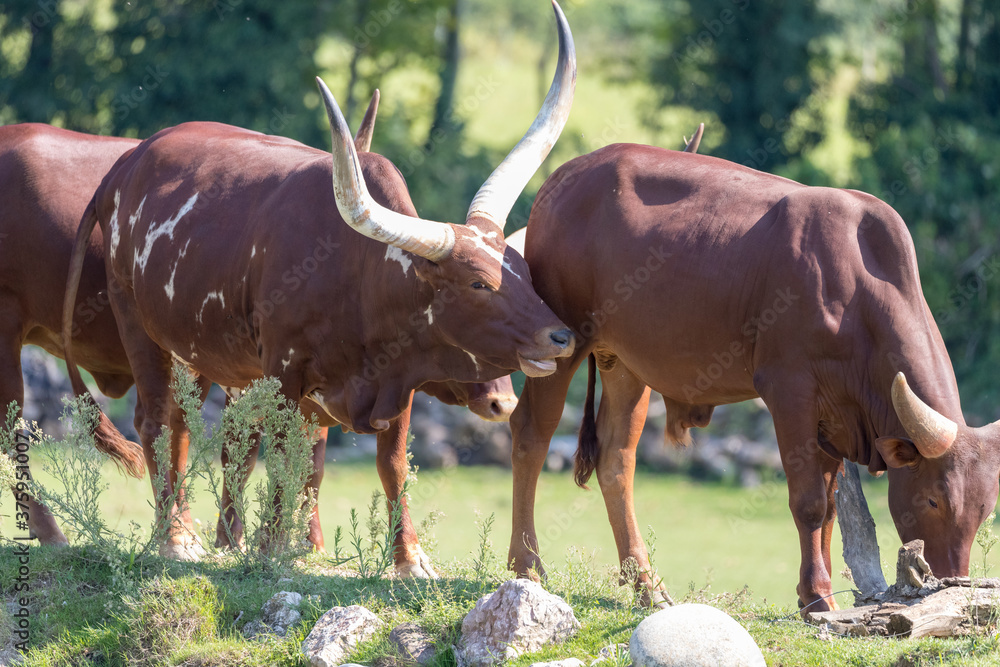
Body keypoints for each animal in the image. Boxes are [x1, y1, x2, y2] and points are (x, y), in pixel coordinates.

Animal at [63, 1, 578, 567]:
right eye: (479, 284)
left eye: (525, 270)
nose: (562, 337)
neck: (359, 278)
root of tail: (124, 165)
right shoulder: (284, 373)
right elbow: (284, 460)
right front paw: (271, 547)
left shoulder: (400, 377)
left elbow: (385, 464)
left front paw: (407, 558)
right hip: (138, 325)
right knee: (156, 421)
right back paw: (174, 537)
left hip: (196, 349)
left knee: (183, 428)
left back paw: (194, 532)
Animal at [506, 141, 1000, 612]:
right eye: (933, 499)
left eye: (983, 510)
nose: (951, 582)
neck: (857, 290)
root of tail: (562, 179)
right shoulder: (789, 391)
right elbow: (809, 503)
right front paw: (817, 595)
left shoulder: (833, 419)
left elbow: (829, 510)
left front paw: (814, 593)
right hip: (560, 346)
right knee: (531, 434)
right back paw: (526, 565)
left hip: (624, 364)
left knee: (616, 461)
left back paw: (647, 586)